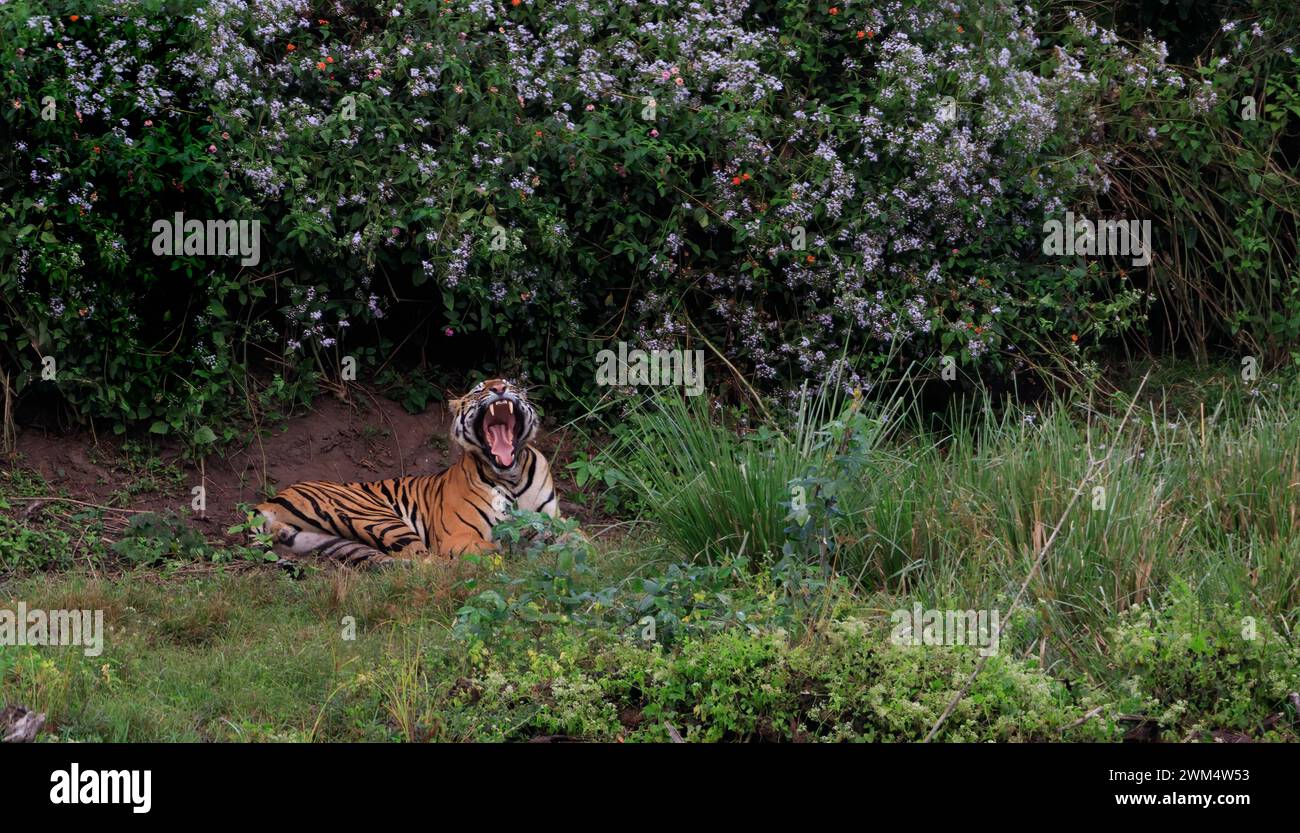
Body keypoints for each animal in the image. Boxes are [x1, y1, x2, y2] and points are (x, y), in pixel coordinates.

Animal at [255, 378, 558, 566]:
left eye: (511, 384)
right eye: (478, 390)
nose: (499, 388)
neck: (511, 475)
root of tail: (270, 500)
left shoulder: (556, 523)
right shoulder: (458, 536)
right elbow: (496, 549)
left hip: (330, 540)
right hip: (375, 516)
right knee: (423, 560)